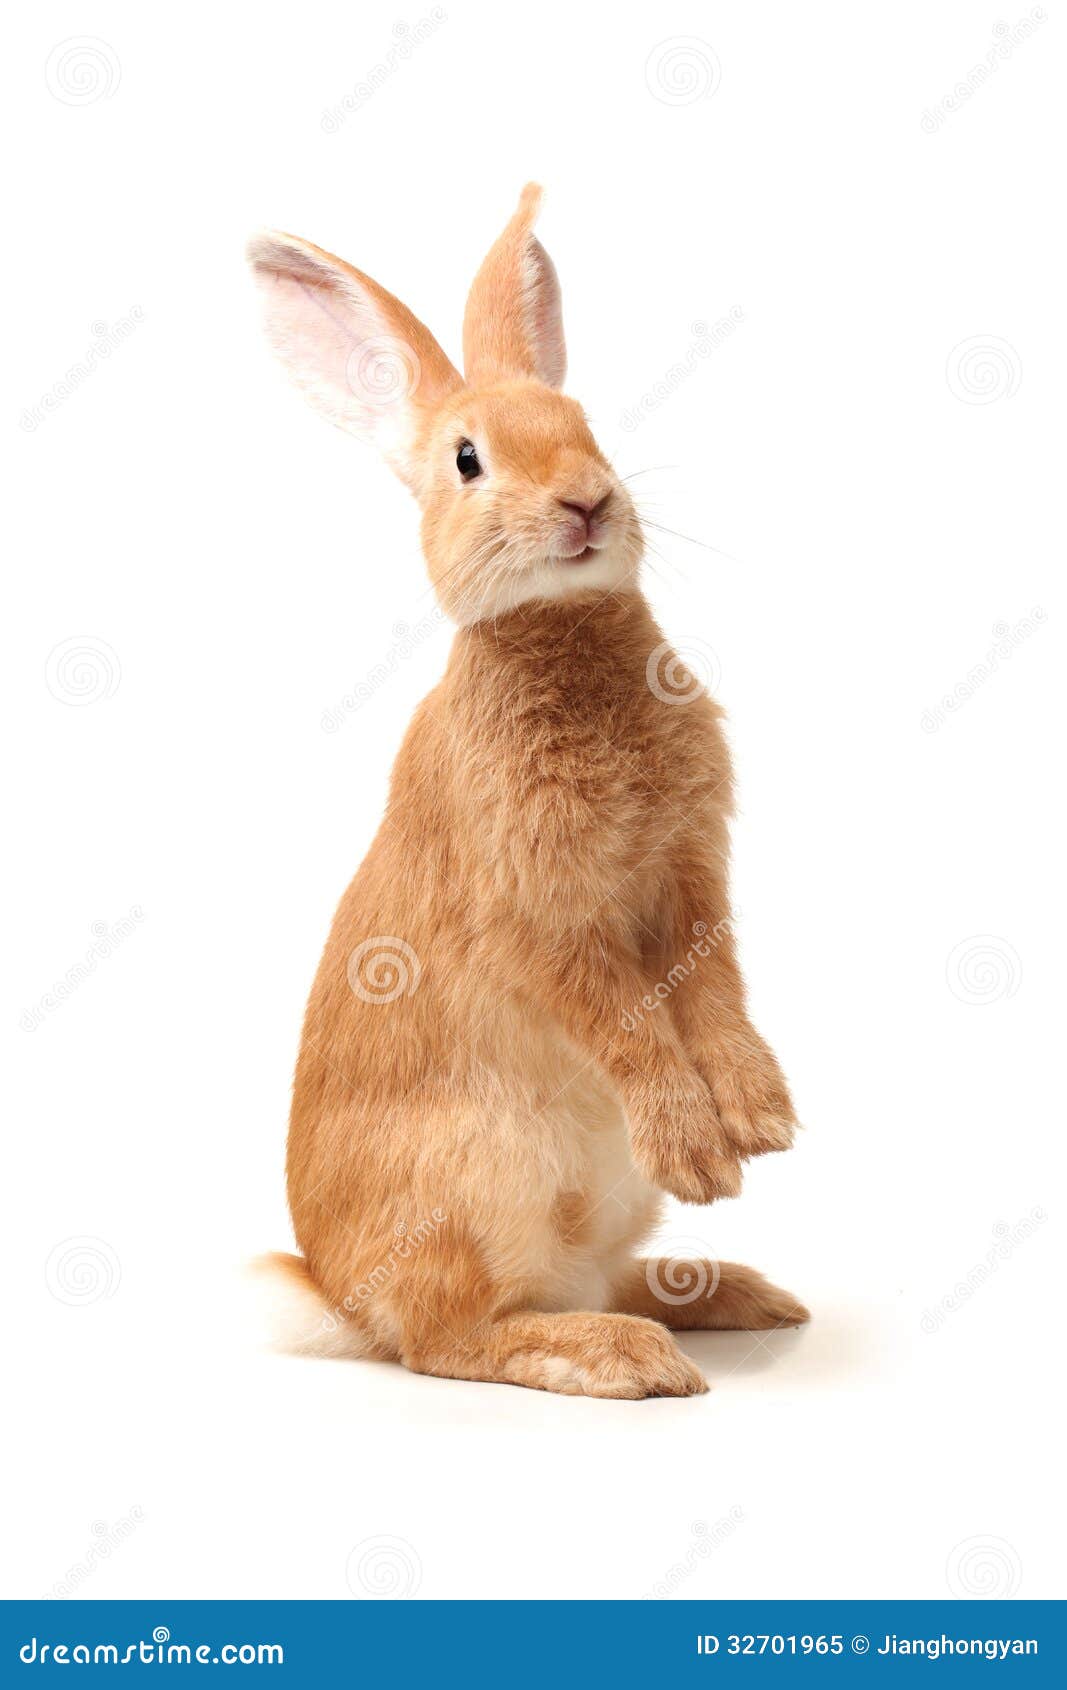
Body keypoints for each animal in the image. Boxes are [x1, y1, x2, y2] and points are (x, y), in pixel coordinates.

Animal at [247, 184, 808, 1399]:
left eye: (585, 426)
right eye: (468, 460)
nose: (586, 502)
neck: (564, 633)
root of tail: (335, 1294)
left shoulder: (690, 878)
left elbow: (713, 991)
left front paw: (760, 1120)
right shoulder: (541, 916)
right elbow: (627, 1022)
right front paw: (698, 1151)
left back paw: (733, 1292)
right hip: (474, 1192)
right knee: (451, 1338)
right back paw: (625, 1356)